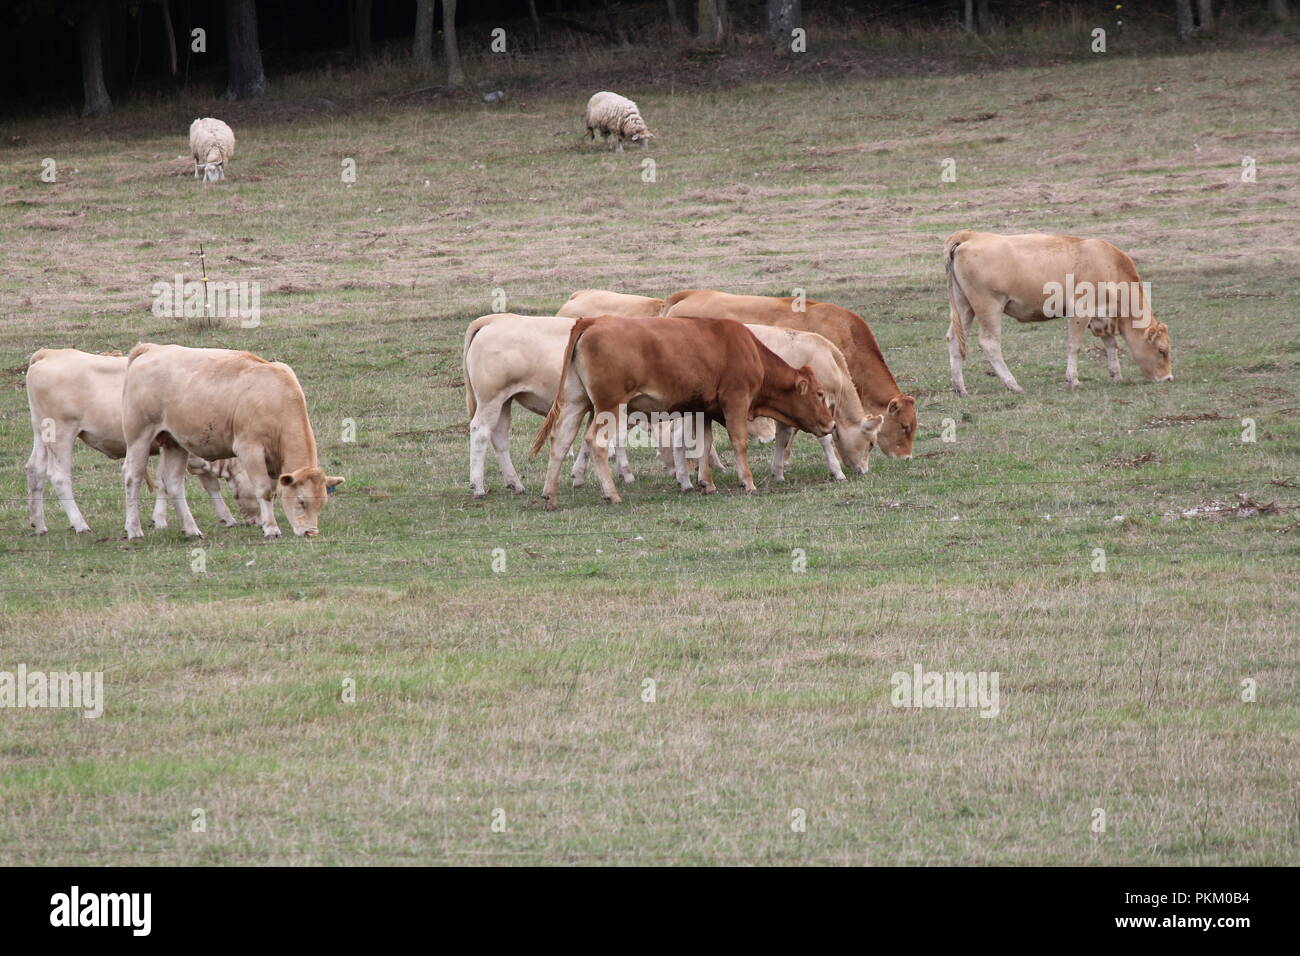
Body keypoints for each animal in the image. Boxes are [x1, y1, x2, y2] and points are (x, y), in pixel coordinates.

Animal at [24, 348, 244, 535]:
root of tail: (49, 353)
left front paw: (225, 517)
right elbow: (169, 481)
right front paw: (161, 520)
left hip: (41, 434)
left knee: (35, 469)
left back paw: (39, 524)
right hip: (62, 434)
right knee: (59, 476)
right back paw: (80, 524)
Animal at [121, 344, 343, 539]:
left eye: (321, 503)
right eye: (301, 501)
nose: (310, 532)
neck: (276, 397)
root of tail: (151, 349)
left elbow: (271, 490)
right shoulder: (249, 449)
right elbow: (264, 490)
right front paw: (271, 528)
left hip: (174, 442)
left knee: (174, 483)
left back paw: (191, 529)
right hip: (139, 438)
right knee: (133, 478)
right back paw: (134, 529)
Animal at [528, 315, 834, 509]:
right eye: (820, 394)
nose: (831, 424)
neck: (749, 350)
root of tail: (592, 321)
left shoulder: (705, 410)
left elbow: (704, 444)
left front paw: (707, 483)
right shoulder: (735, 400)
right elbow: (739, 442)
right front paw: (747, 482)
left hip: (577, 402)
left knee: (561, 441)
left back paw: (549, 496)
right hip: (609, 407)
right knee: (596, 442)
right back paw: (611, 494)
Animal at [943, 230, 1173, 395]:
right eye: (1162, 350)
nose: (1168, 378)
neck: (1109, 265)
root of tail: (970, 235)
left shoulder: (1101, 317)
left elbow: (1111, 345)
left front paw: (1116, 375)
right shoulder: (1080, 310)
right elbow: (1074, 345)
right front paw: (1073, 379)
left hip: (964, 307)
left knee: (954, 339)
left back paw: (960, 388)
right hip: (989, 307)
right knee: (989, 343)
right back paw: (1013, 385)